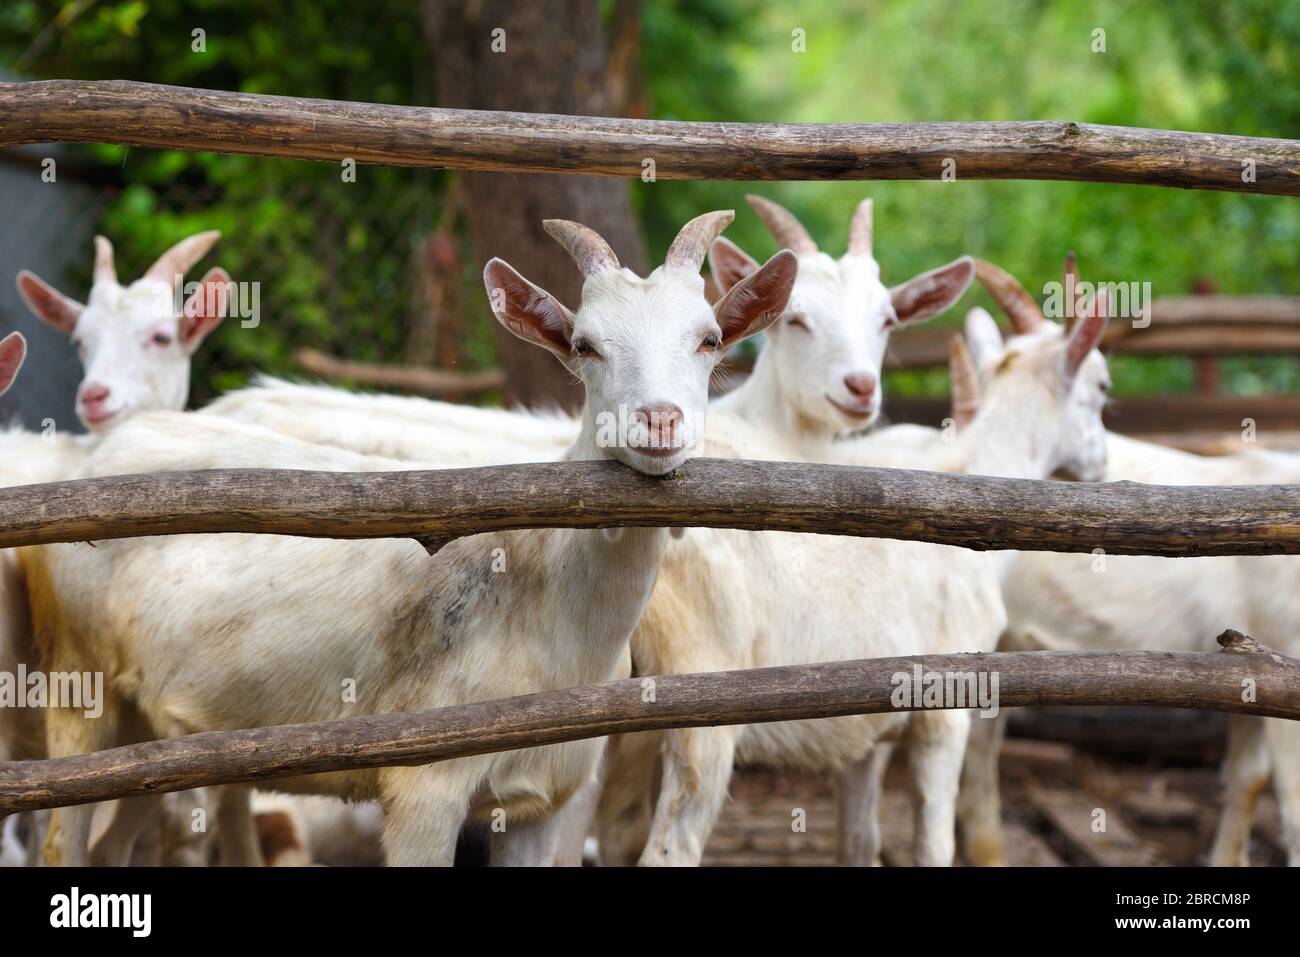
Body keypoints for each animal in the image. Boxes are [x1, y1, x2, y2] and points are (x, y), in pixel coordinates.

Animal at [23, 211, 797, 866]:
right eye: (584, 344)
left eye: (708, 339)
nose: (659, 421)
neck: (544, 599)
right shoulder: (423, 781)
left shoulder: (546, 797)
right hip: (79, 682)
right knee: (61, 839)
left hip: (154, 734)